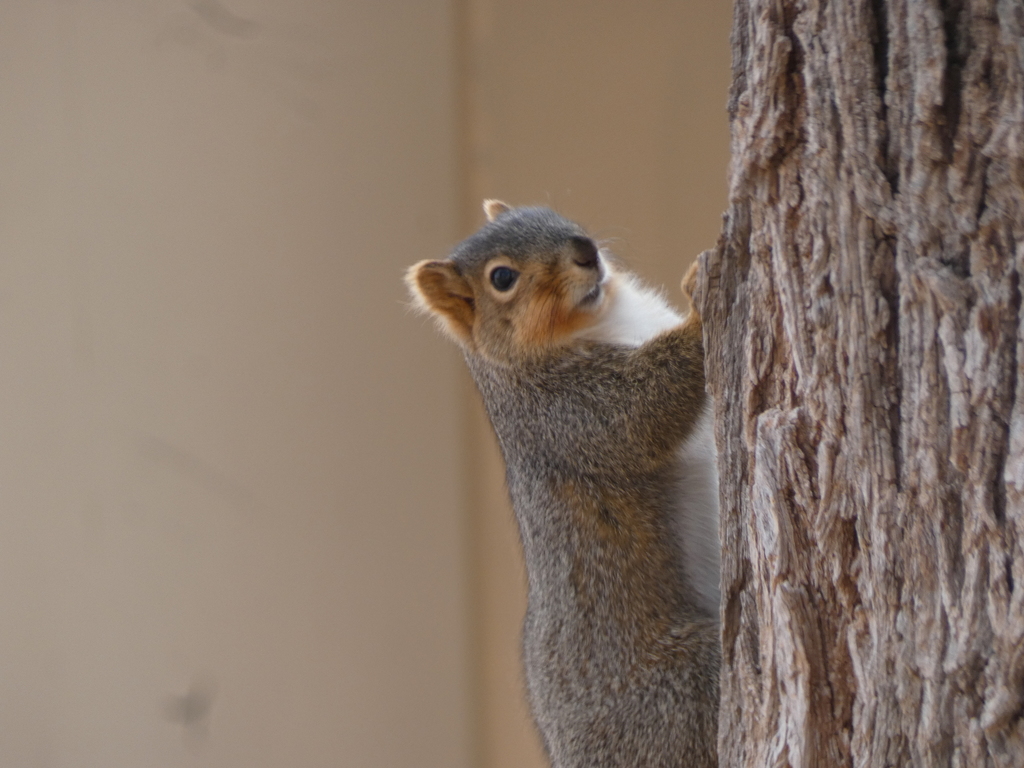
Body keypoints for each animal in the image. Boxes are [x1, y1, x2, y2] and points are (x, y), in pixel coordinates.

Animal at [406, 201, 720, 768]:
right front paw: (700, 292)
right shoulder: (567, 415)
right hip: (678, 690)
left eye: (549, 213)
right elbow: (640, 413)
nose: (585, 250)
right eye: (501, 278)